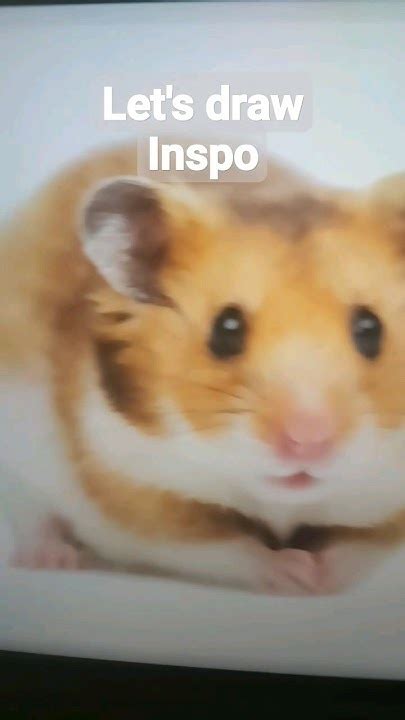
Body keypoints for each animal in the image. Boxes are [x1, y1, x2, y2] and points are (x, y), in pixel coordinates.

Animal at [1, 141, 405, 594]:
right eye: (225, 330)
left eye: (370, 328)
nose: (309, 442)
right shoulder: (132, 495)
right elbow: (224, 548)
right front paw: (294, 573)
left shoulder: (390, 507)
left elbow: (358, 551)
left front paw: (319, 580)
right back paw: (52, 558)